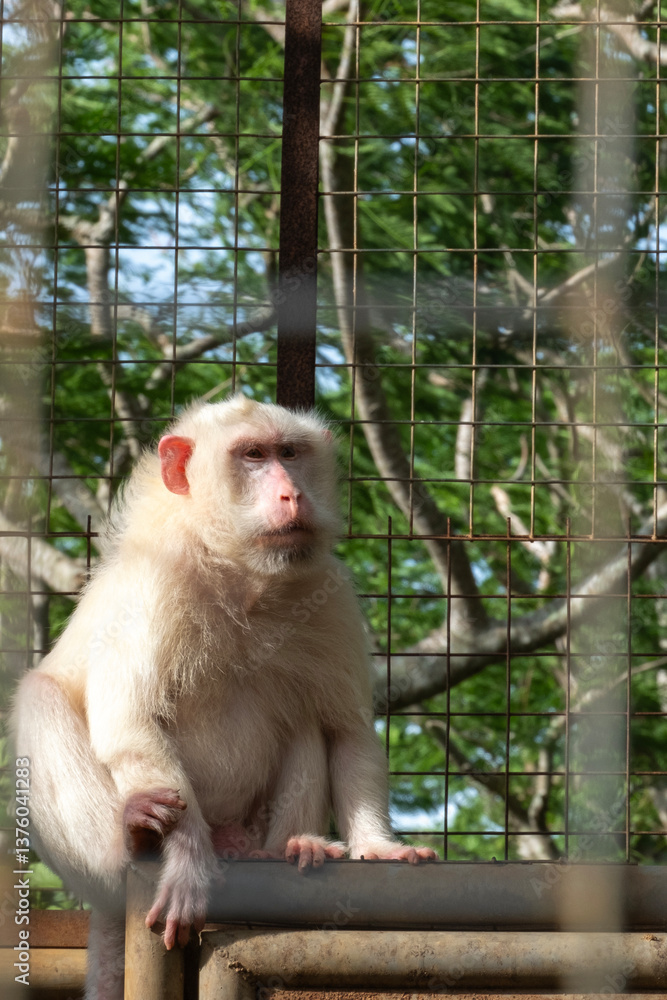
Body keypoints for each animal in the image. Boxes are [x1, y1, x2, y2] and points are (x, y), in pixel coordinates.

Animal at [11, 395, 436, 1000]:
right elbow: (129, 721)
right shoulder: (154, 581)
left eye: (290, 453)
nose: (292, 494)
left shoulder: (329, 590)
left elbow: (347, 731)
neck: (239, 572)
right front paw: (187, 861)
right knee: (39, 697)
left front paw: (377, 846)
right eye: (253, 455)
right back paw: (128, 838)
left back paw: (287, 847)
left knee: (303, 716)